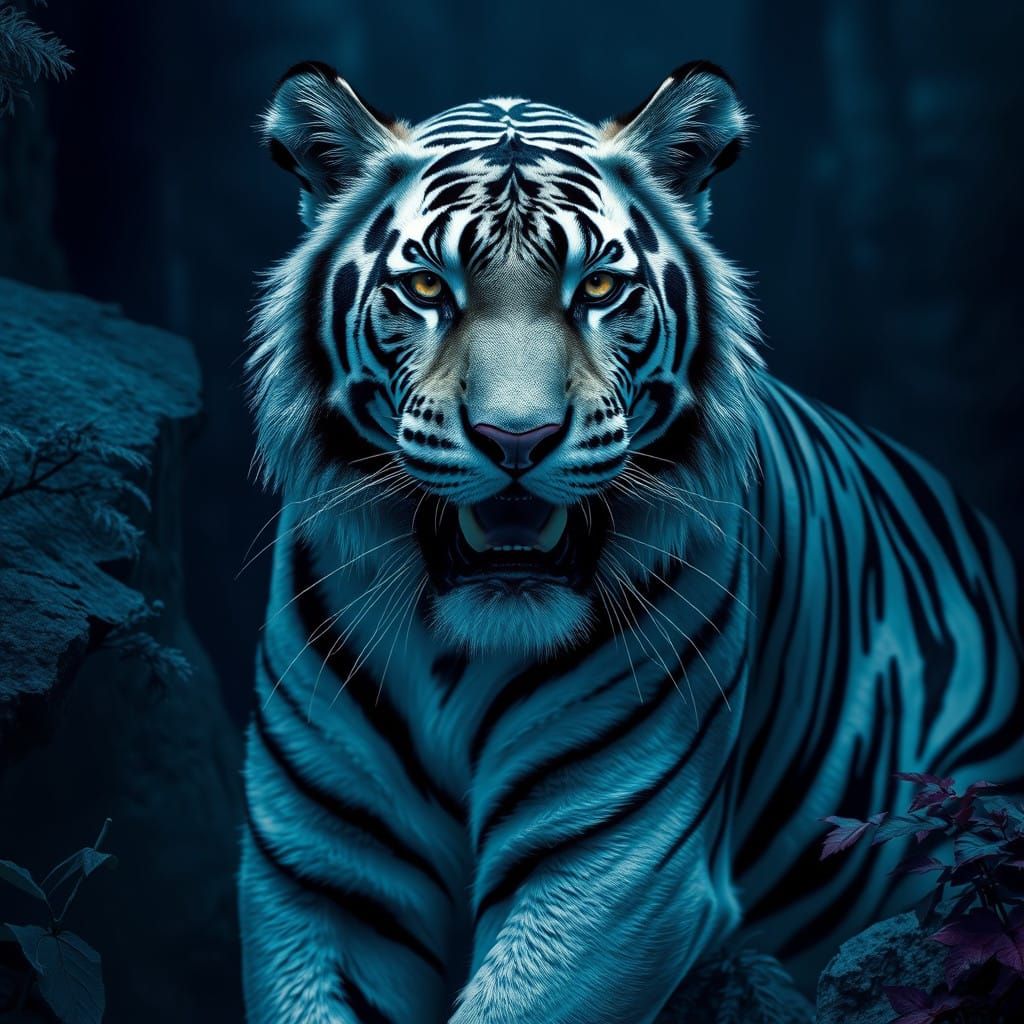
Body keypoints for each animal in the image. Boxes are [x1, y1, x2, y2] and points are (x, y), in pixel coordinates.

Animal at [240, 59, 1023, 1023]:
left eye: (599, 290)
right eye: (426, 290)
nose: (516, 440)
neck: (460, 653)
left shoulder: (616, 864)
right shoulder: (320, 875)